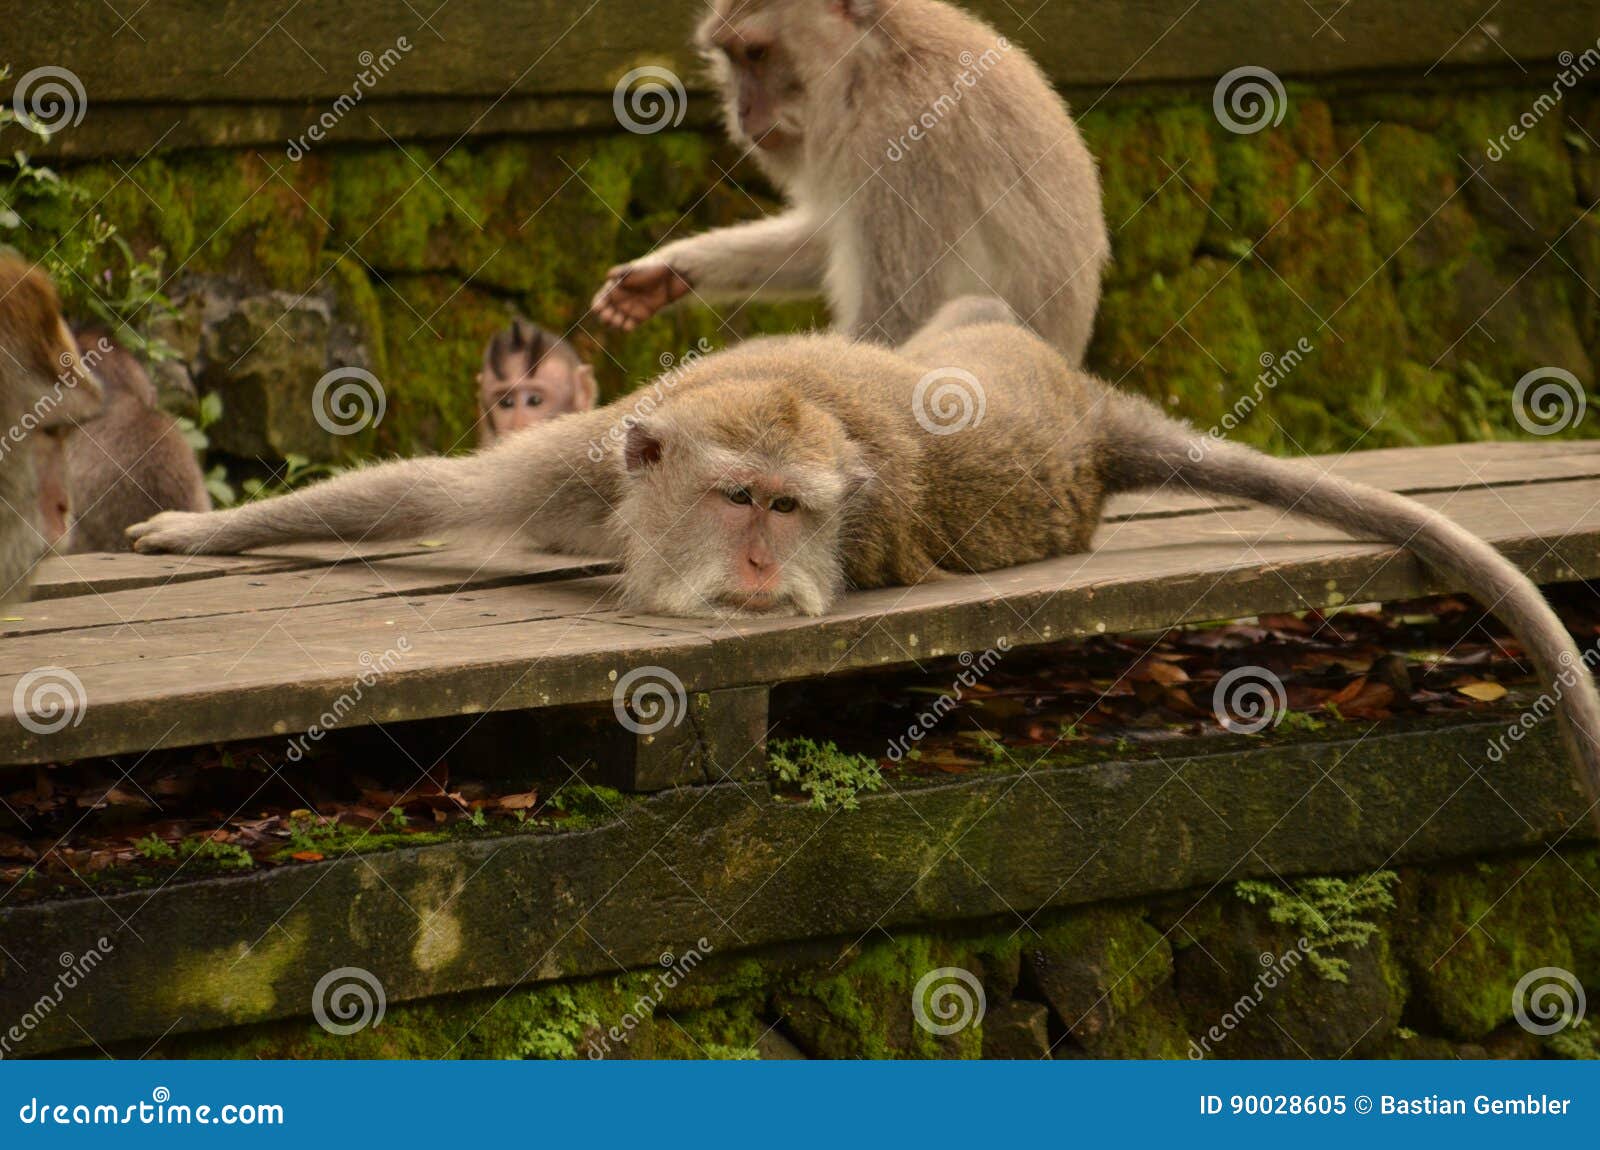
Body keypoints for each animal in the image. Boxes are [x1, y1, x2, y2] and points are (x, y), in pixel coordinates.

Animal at [591, 0, 1109, 362]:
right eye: (733, 59)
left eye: (756, 53)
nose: (740, 109)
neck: (873, 67)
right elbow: (827, 236)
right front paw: (669, 271)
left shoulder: (900, 141)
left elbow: (893, 323)